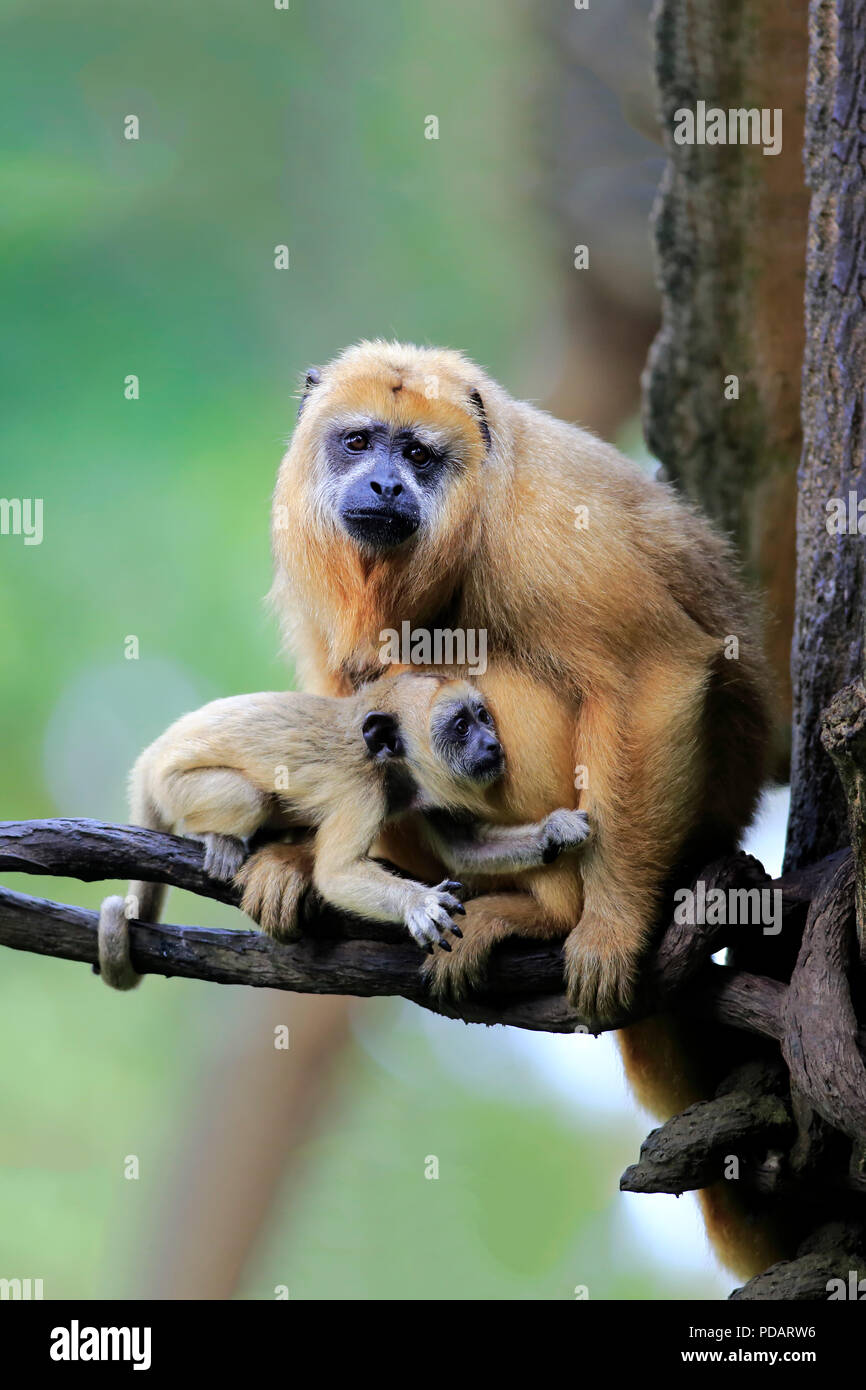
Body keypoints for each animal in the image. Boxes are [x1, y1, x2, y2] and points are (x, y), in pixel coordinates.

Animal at [97, 670, 591, 990]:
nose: (492, 743)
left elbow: (463, 850)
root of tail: (151, 759)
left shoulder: (420, 792)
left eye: (483, 716)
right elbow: (334, 874)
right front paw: (418, 903)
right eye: (460, 726)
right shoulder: (363, 790)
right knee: (248, 797)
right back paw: (217, 839)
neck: (393, 766)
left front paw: (555, 830)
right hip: (174, 784)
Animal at [242, 339, 777, 1277]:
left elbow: (651, 672)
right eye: (358, 443)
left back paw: (540, 914)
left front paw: (610, 927)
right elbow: (344, 707)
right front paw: (293, 861)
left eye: (420, 456)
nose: (386, 485)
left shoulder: (547, 529)